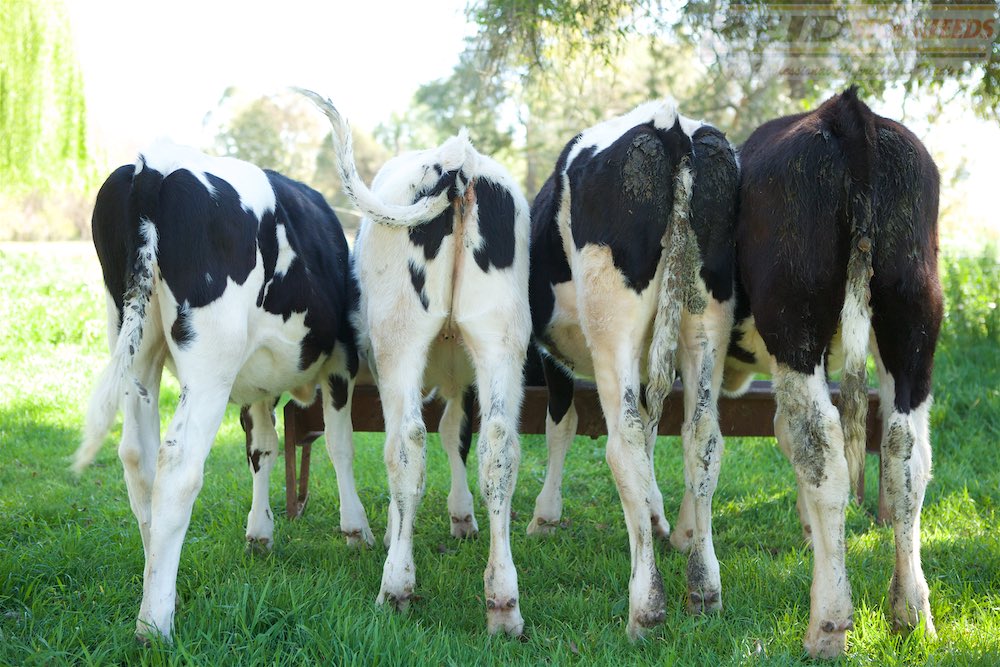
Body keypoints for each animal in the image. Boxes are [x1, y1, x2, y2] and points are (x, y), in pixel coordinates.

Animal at [75, 141, 383, 641]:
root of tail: (153, 166)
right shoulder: (342, 357)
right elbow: (341, 444)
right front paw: (356, 530)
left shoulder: (257, 383)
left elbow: (262, 449)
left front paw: (259, 533)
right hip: (210, 361)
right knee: (178, 465)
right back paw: (153, 624)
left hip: (135, 343)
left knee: (139, 459)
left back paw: (157, 582)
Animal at [300, 90, 531, 636]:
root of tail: (456, 159)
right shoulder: (462, 379)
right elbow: (456, 434)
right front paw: (462, 517)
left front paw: (391, 532)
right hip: (502, 340)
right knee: (499, 447)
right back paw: (503, 602)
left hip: (398, 339)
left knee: (405, 445)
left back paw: (396, 586)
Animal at [525, 99, 740, 639]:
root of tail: (669, 124)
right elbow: (652, 435)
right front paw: (659, 516)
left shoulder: (553, 357)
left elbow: (562, 425)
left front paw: (545, 517)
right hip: (707, 319)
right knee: (702, 438)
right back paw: (705, 587)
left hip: (611, 325)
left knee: (620, 444)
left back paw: (645, 604)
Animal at [722, 87, 942, 658]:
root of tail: (846, 111)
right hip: (913, 320)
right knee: (906, 454)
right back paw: (912, 613)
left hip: (793, 320)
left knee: (819, 445)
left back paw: (827, 622)